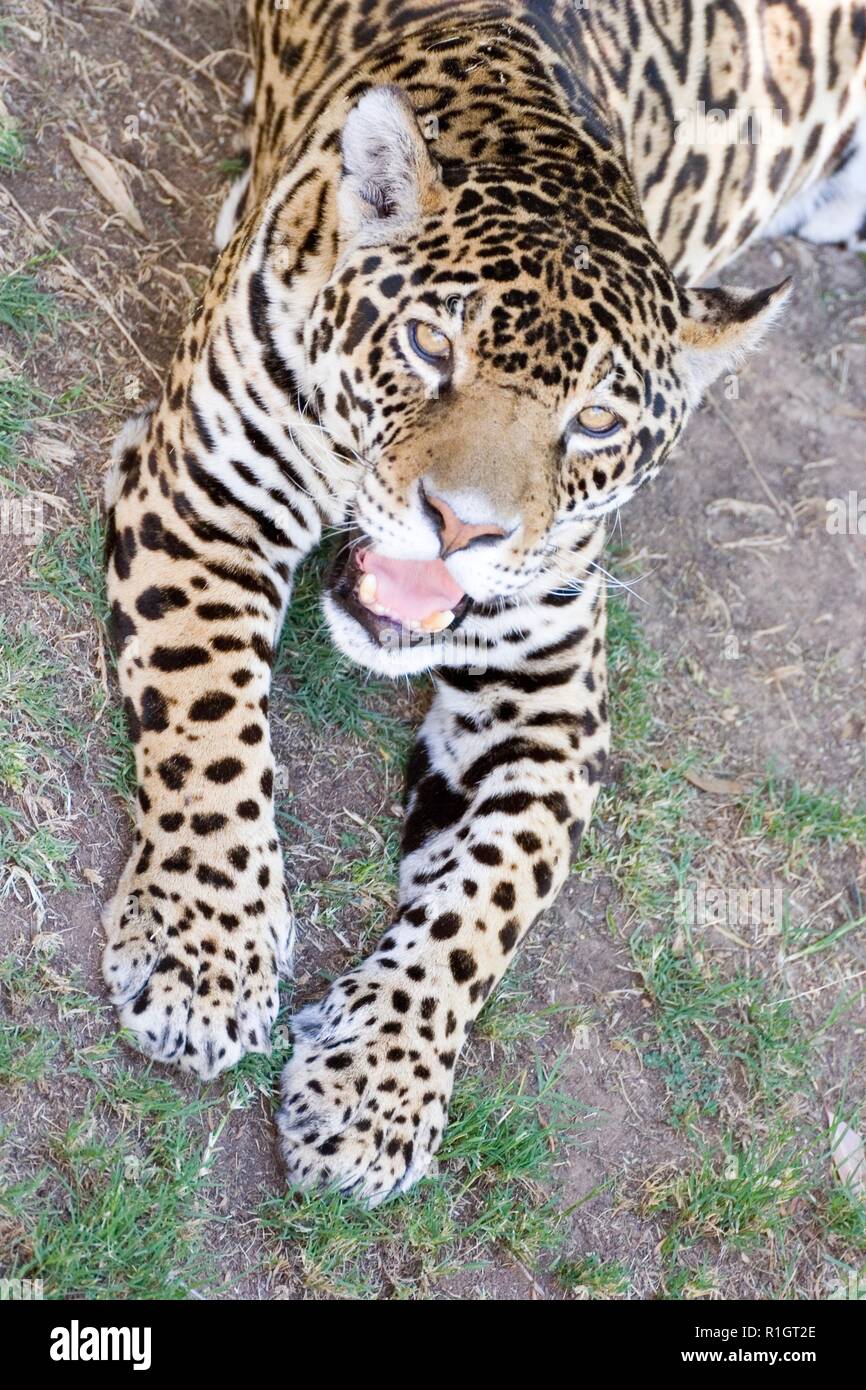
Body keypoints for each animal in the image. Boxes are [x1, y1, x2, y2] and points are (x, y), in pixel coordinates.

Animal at [101, 0, 866, 1204]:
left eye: (595, 423)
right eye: (428, 345)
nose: (461, 528)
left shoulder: (546, 697)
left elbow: (492, 895)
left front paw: (372, 1091)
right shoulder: (203, 501)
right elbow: (211, 730)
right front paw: (204, 954)